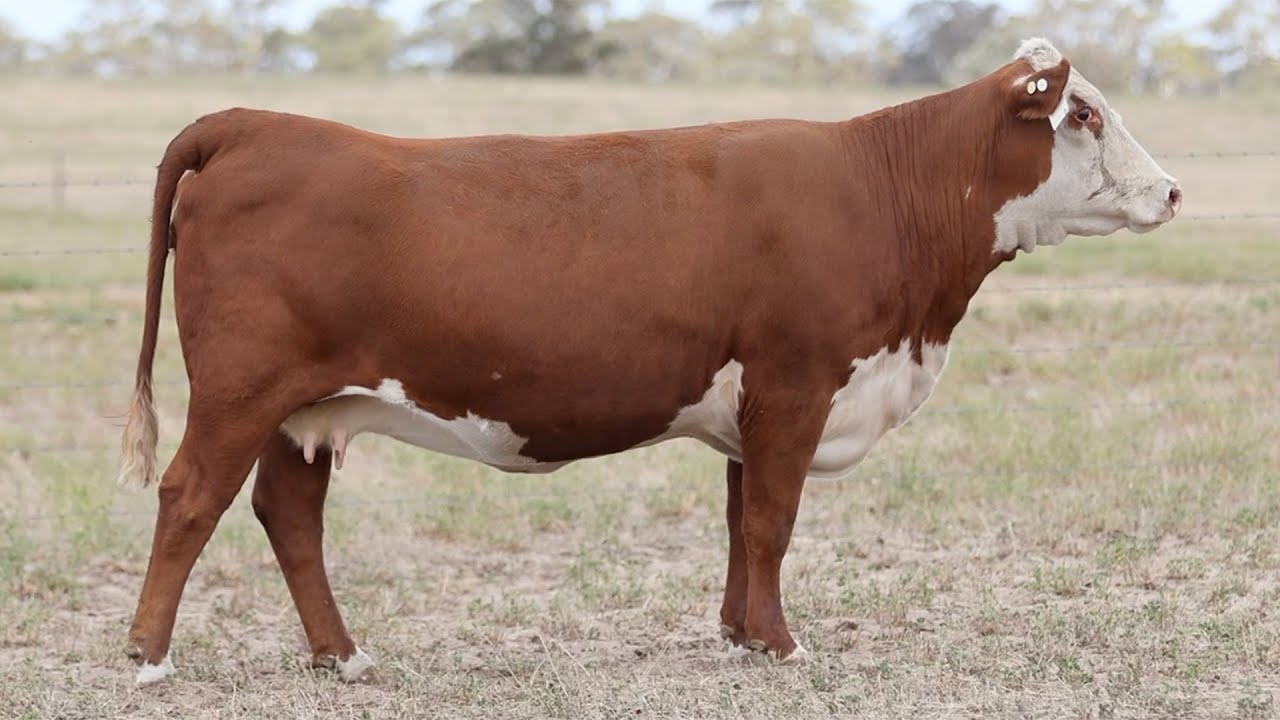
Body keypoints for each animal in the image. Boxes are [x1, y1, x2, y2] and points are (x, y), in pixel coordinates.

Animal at [116, 38, 1181, 685]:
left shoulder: (752, 406)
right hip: (239, 393)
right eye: (1083, 115)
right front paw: (784, 647)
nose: (1172, 190)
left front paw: (742, 636)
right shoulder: (796, 383)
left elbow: (741, 523)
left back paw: (343, 656)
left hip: (304, 408)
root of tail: (256, 124)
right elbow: (774, 523)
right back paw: (148, 658)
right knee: (191, 497)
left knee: (287, 514)